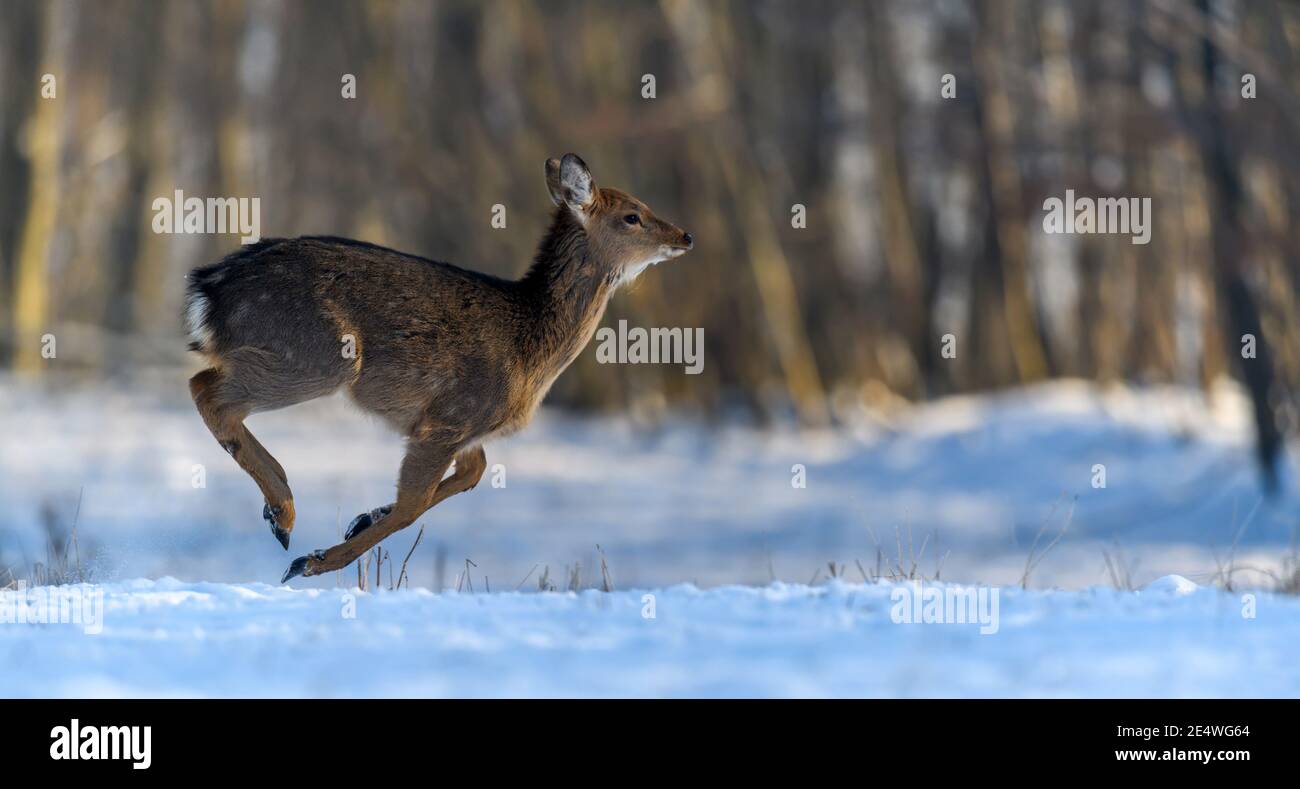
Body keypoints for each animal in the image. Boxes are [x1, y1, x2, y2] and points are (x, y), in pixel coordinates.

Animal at [184, 154, 693, 583]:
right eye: (632, 215)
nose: (684, 236)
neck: (531, 351)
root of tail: (208, 288)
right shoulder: (449, 416)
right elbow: (415, 504)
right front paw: (315, 561)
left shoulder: (464, 430)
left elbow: (470, 475)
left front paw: (361, 518)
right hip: (319, 355)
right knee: (205, 387)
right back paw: (286, 518)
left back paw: (281, 513)